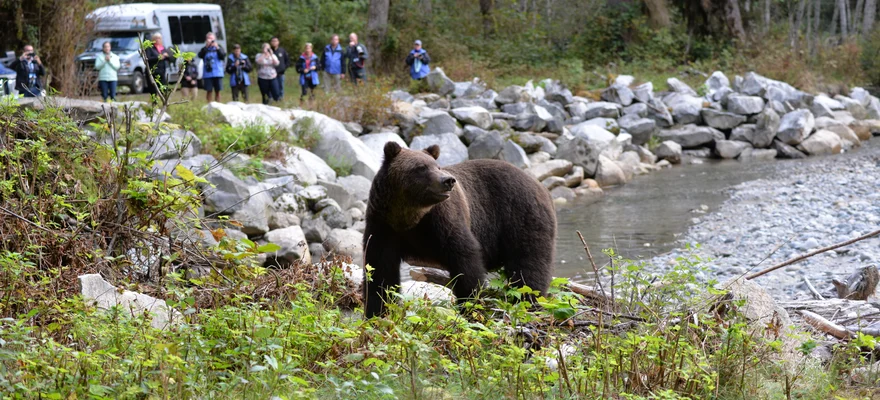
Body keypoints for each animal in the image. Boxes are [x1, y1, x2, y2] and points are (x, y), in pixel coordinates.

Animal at [362, 141, 556, 317]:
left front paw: (470, 305)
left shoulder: (443, 221)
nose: (447, 180)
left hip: (520, 215)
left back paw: (529, 302)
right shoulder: (383, 226)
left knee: (529, 265)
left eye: (437, 166)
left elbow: (465, 259)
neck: (409, 218)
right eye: (421, 167)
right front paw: (377, 311)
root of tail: (541, 187)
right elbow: (379, 270)